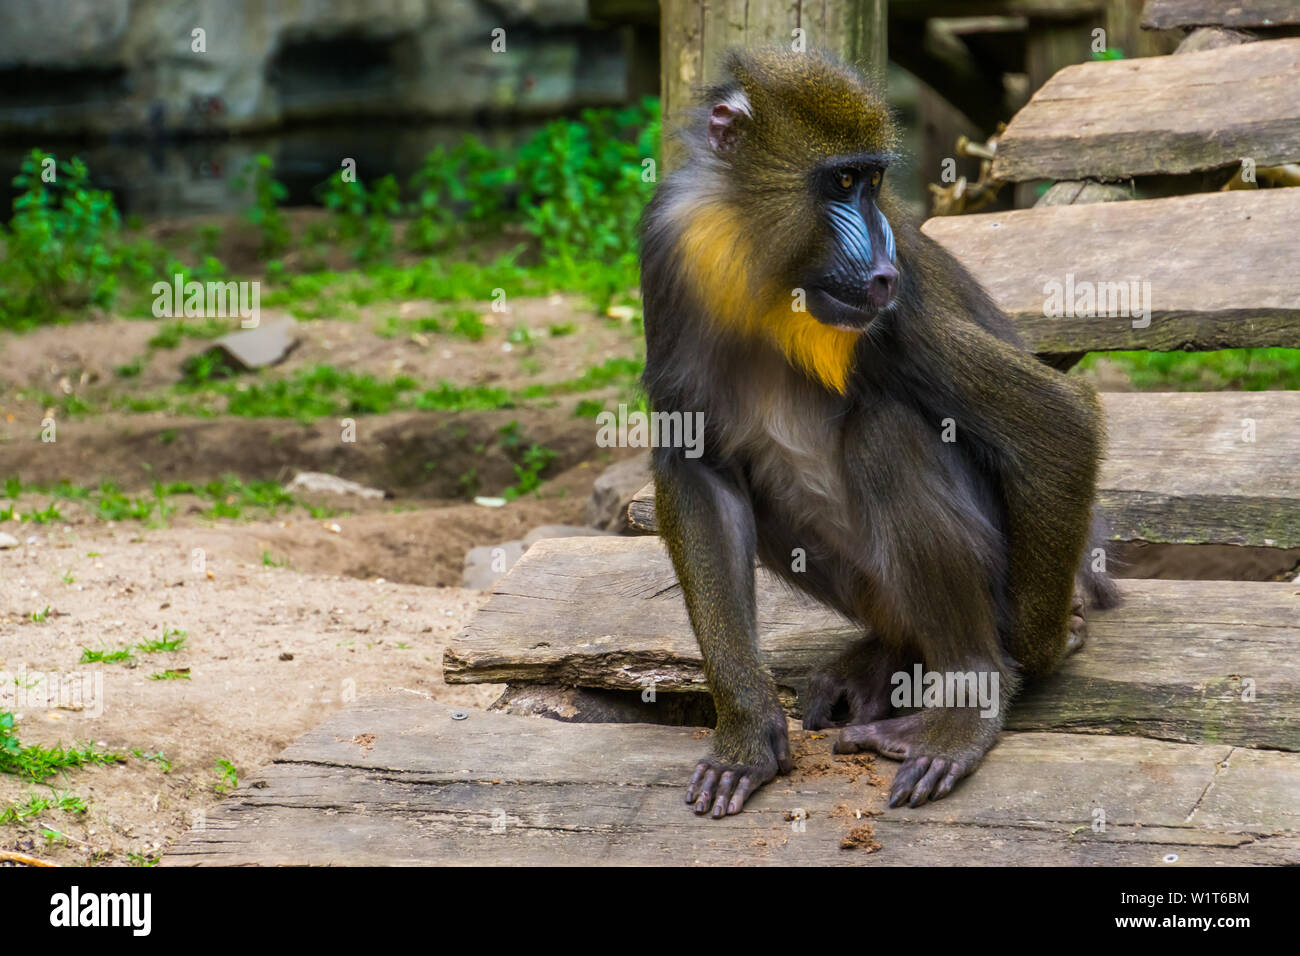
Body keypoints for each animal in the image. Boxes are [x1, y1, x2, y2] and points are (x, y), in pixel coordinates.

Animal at [639, 49, 1119, 816]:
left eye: (872, 183)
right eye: (840, 181)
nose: (883, 268)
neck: (761, 263)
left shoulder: (895, 318)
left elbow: (1056, 421)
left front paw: (1039, 653)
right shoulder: (670, 252)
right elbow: (701, 470)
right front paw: (745, 731)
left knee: (888, 434)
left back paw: (965, 701)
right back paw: (887, 657)